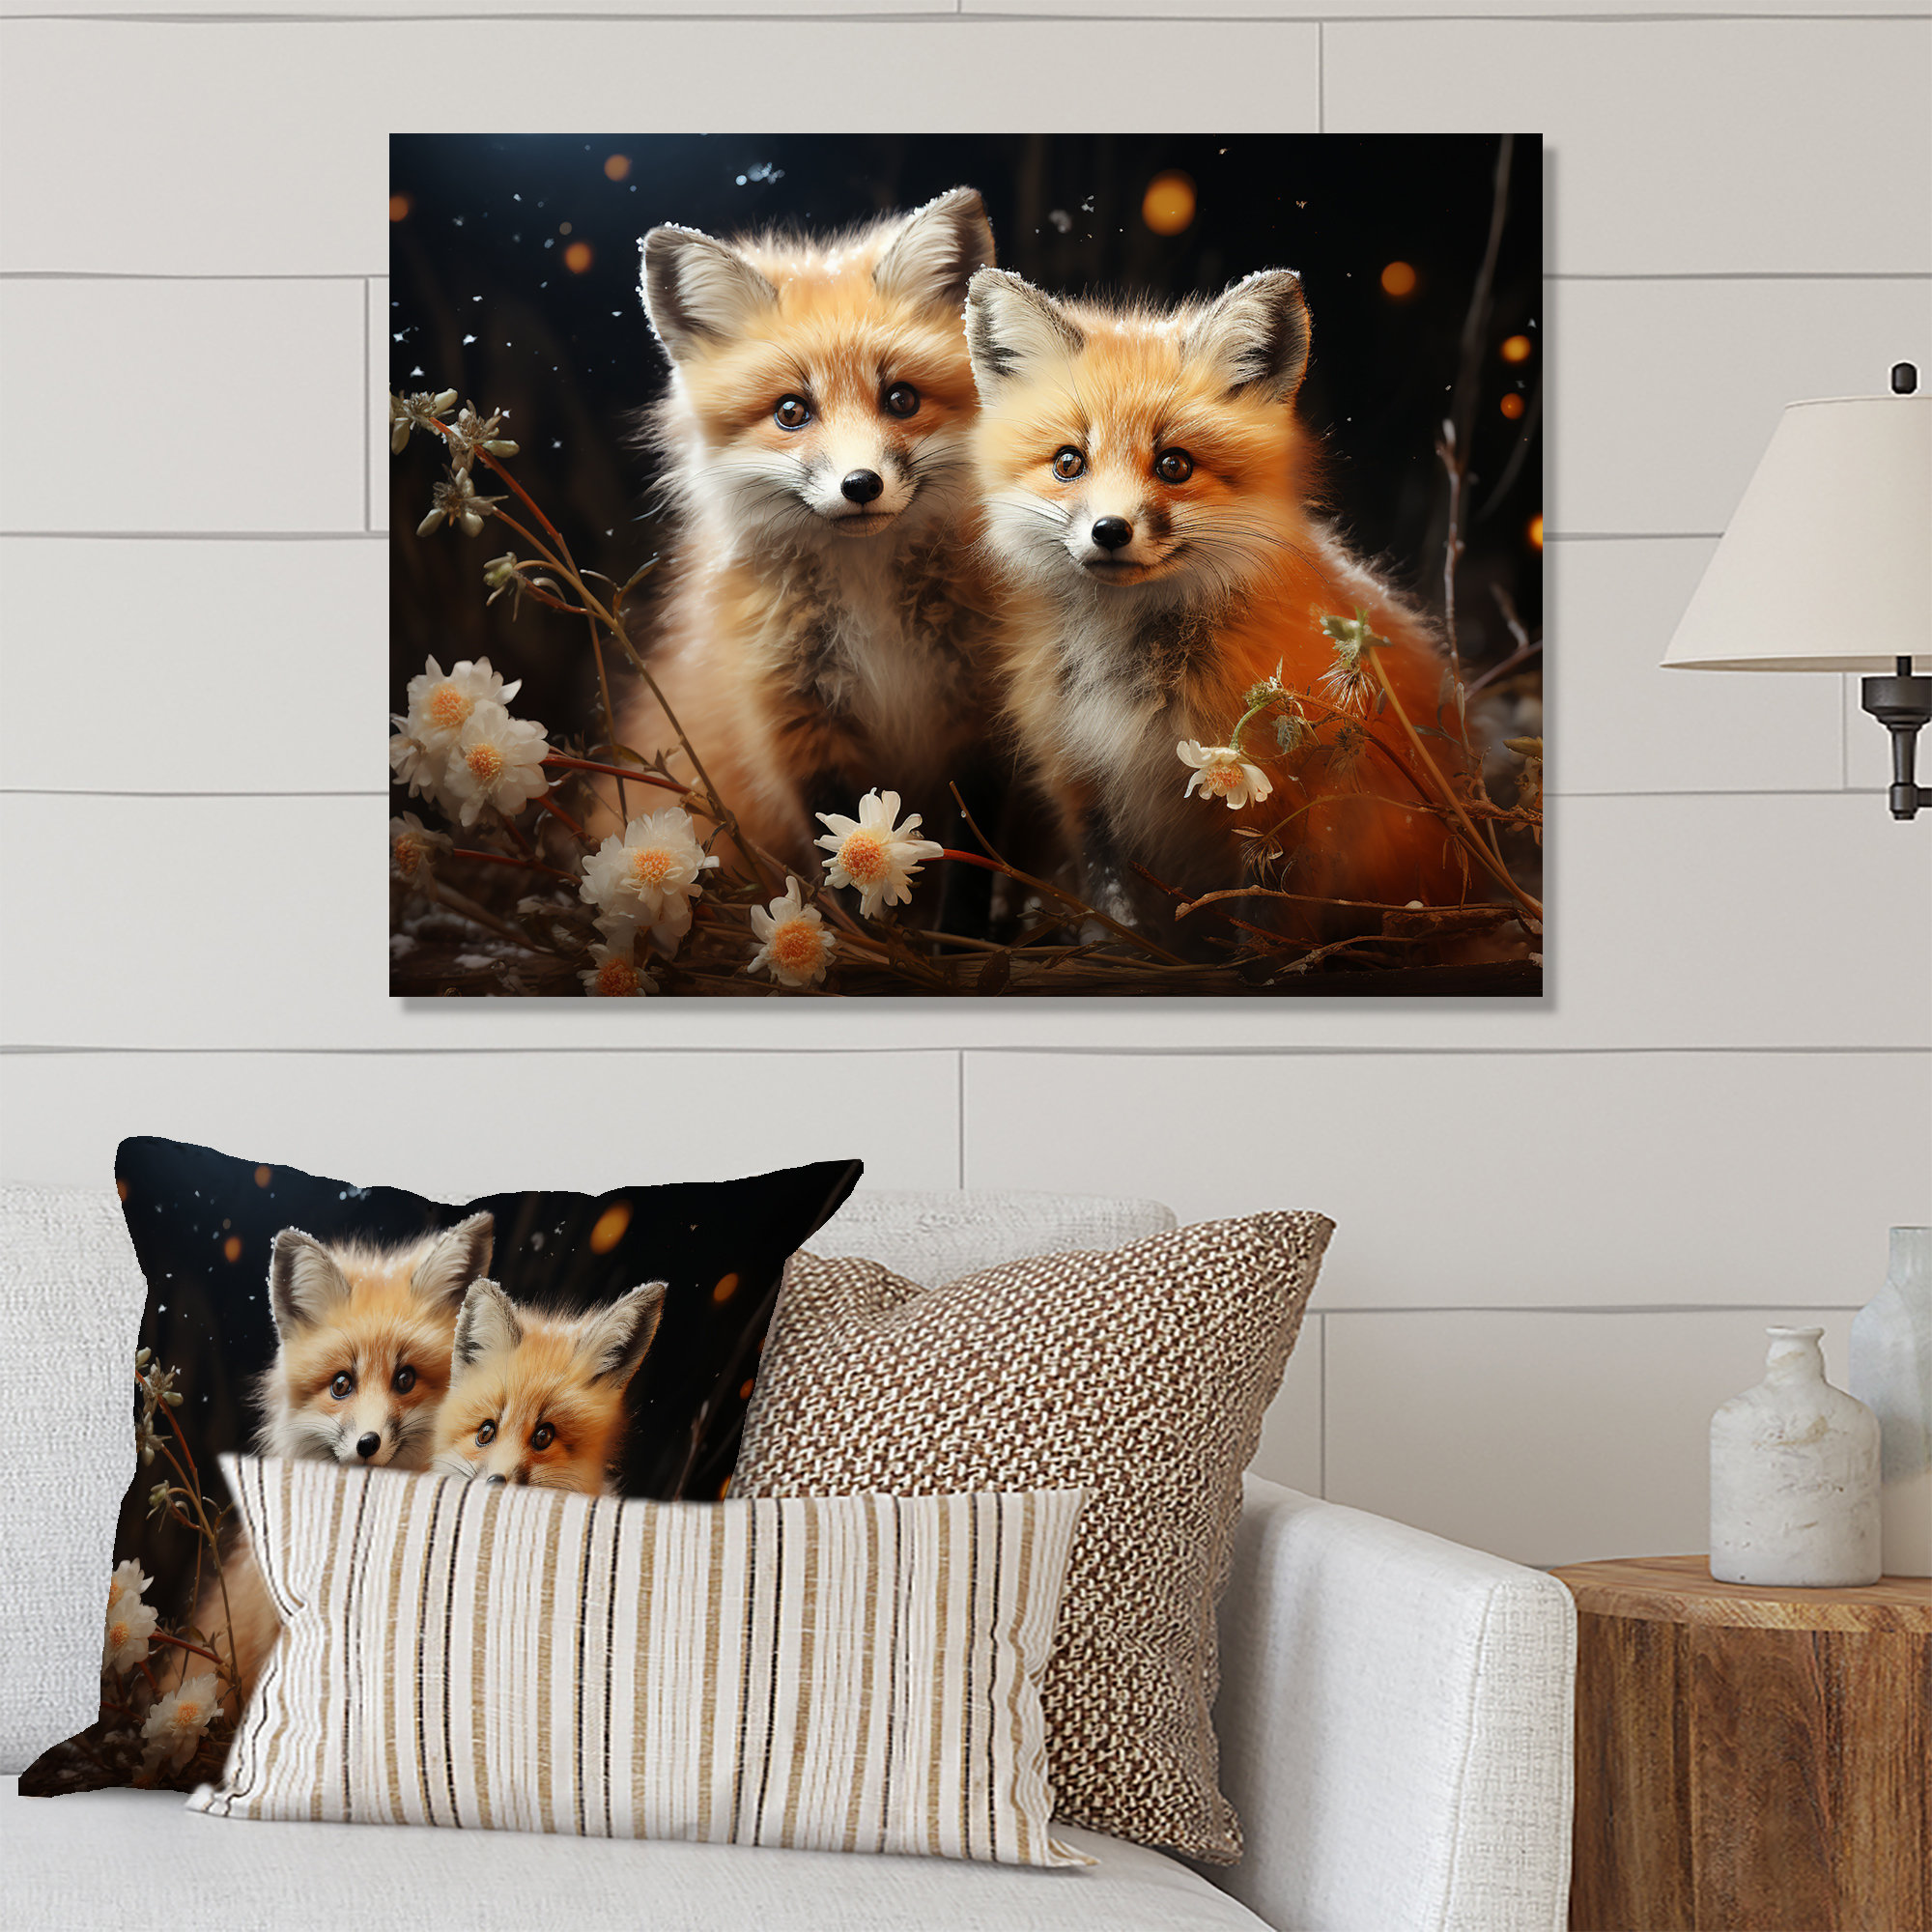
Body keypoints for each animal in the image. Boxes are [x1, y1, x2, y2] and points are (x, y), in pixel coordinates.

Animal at [615, 187, 1002, 877]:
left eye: (902, 400)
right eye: (791, 412)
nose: (861, 485)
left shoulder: (979, 737)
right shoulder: (799, 743)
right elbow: (839, 867)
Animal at [964, 265, 1471, 946]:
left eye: (1174, 465)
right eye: (1068, 462)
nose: (1109, 530)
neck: (1130, 679)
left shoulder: (1295, 797)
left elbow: (1270, 910)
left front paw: (1259, 962)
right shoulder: (1082, 784)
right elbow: (1110, 897)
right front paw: (1118, 950)